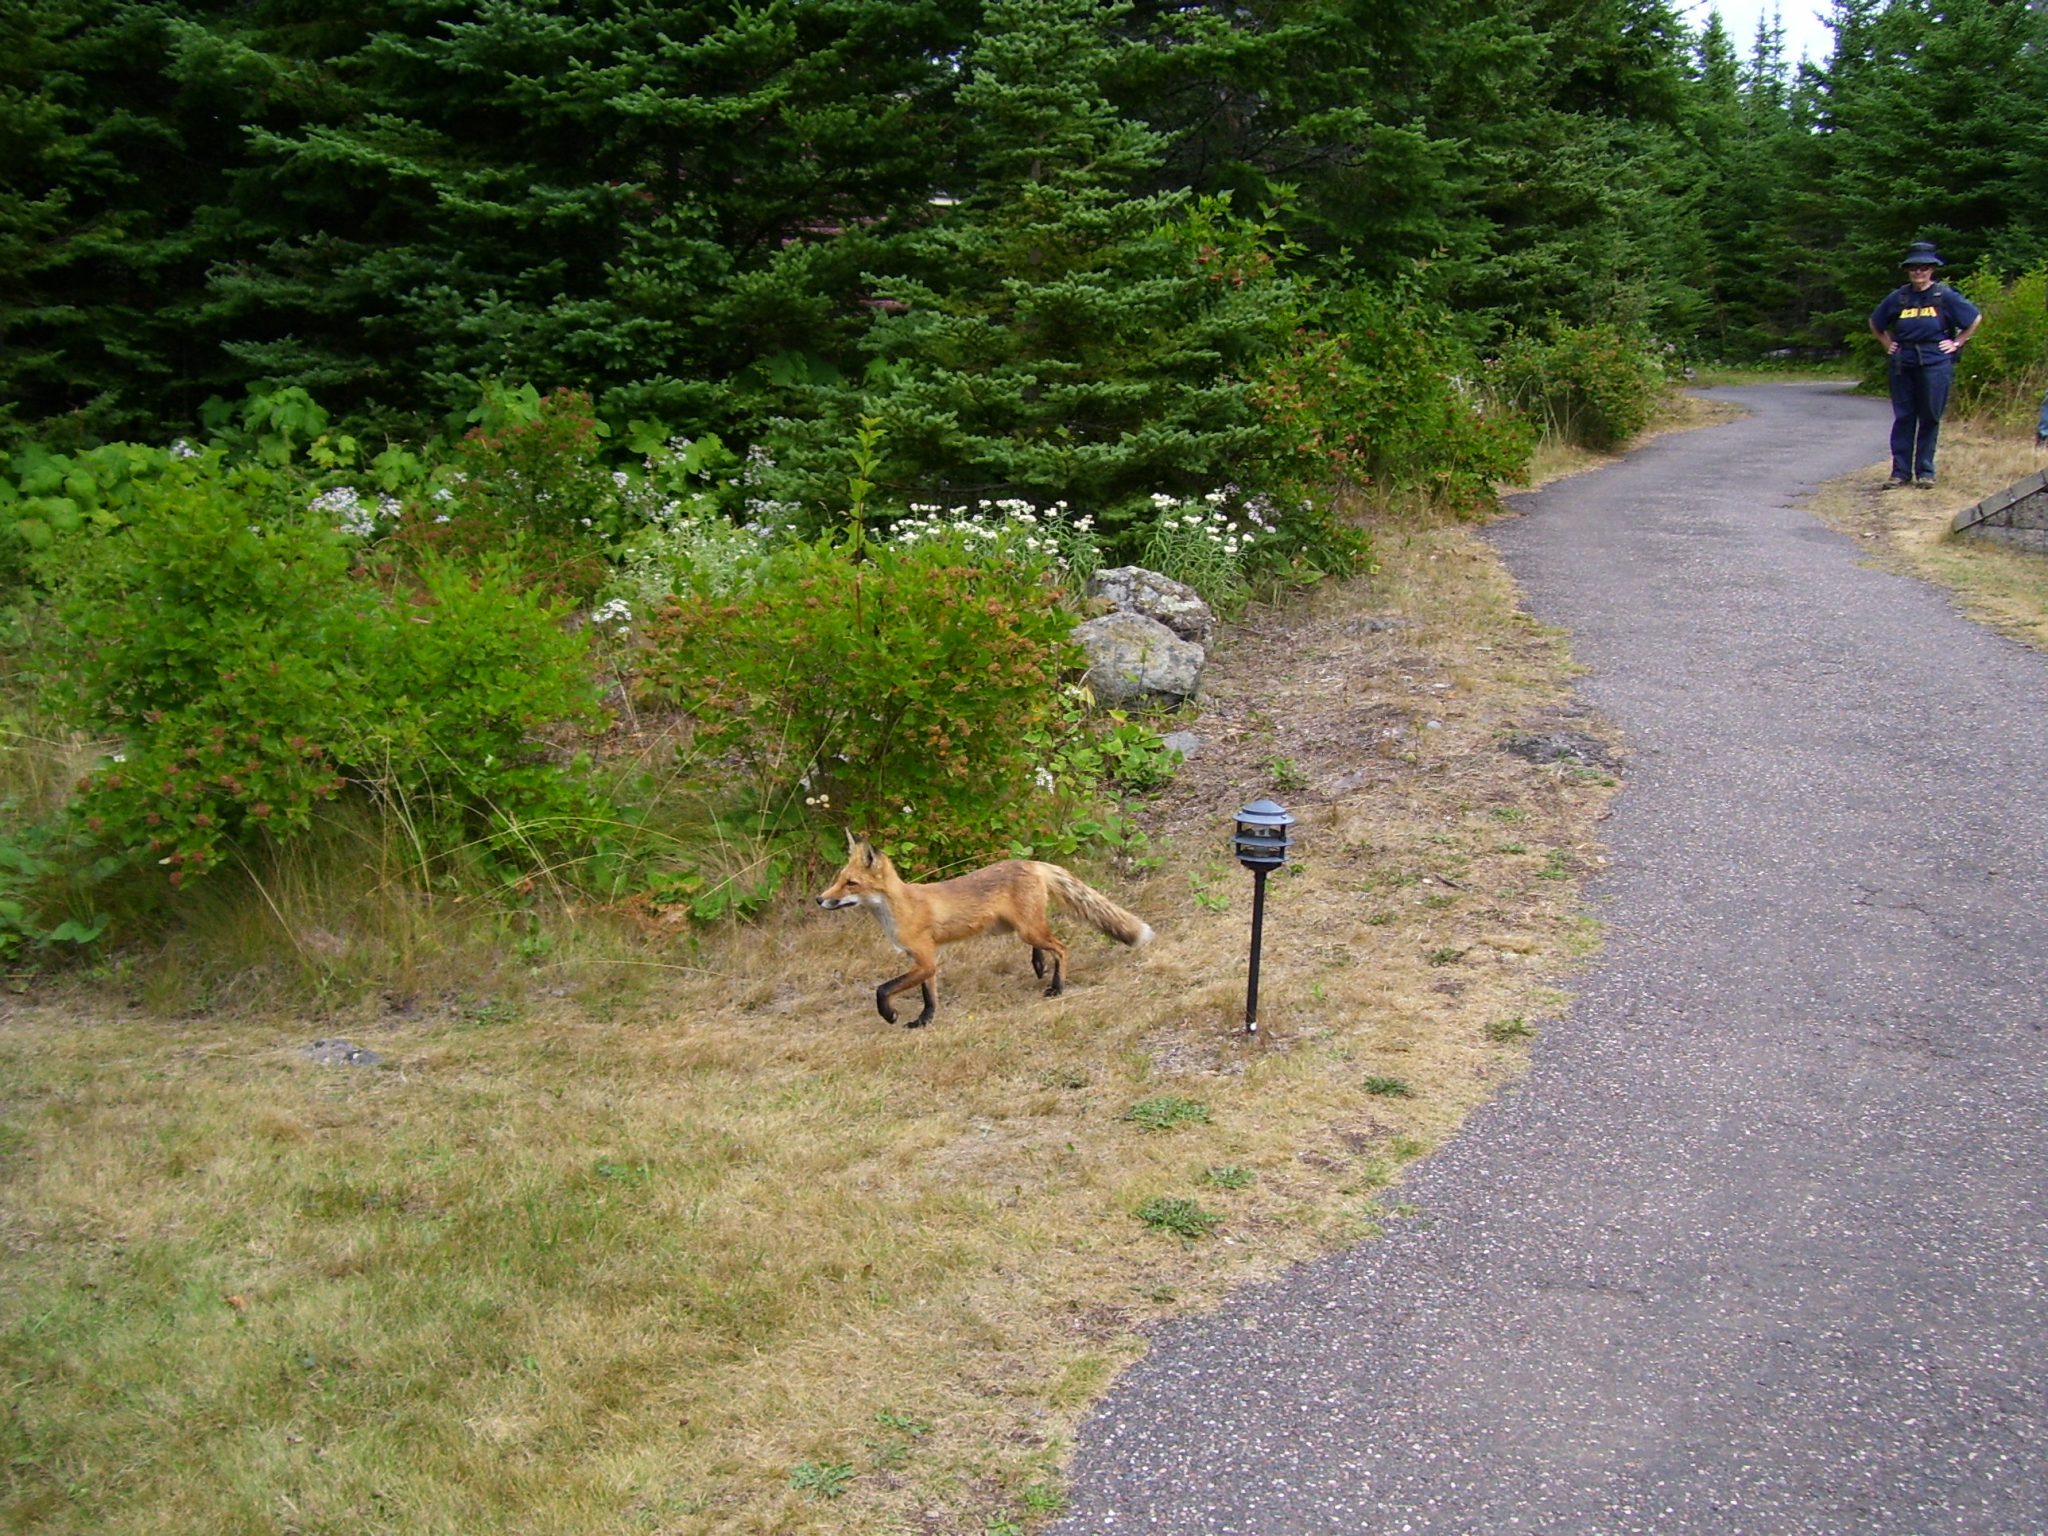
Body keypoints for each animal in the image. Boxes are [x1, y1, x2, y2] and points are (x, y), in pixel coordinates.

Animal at [815, 833, 1155, 1028]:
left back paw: (1057, 986)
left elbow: (883, 989)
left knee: (1061, 947)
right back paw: (1038, 964)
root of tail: (1033, 863)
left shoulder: (924, 959)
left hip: (1025, 929)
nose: (820, 899)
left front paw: (890, 1015)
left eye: (851, 883)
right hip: (1015, 927)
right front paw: (924, 1021)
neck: (901, 909)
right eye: (839, 879)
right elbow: (930, 997)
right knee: (1045, 943)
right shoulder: (926, 961)